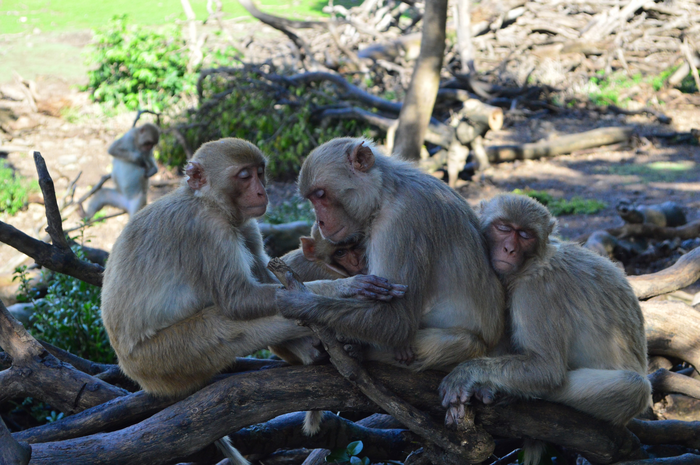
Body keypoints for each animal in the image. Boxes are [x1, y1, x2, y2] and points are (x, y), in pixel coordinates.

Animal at [101, 138, 405, 464]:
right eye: (244, 176)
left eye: (260, 172)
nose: (262, 192)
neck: (208, 202)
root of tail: (129, 367)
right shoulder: (209, 228)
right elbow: (238, 300)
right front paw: (347, 287)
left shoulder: (246, 225)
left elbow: (267, 275)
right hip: (163, 359)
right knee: (229, 327)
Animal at [278, 137, 506, 372]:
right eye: (312, 199)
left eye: (320, 195)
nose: (321, 221)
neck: (386, 192)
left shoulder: (398, 223)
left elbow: (397, 320)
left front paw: (299, 302)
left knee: (465, 343)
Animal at [439, 194, 651, 465]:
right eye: (504, 228)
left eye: (525, 235)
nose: (509, 249)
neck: (529, 263)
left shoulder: (537, 292)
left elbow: (547, 369)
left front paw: (468, 373)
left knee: (636, 387)